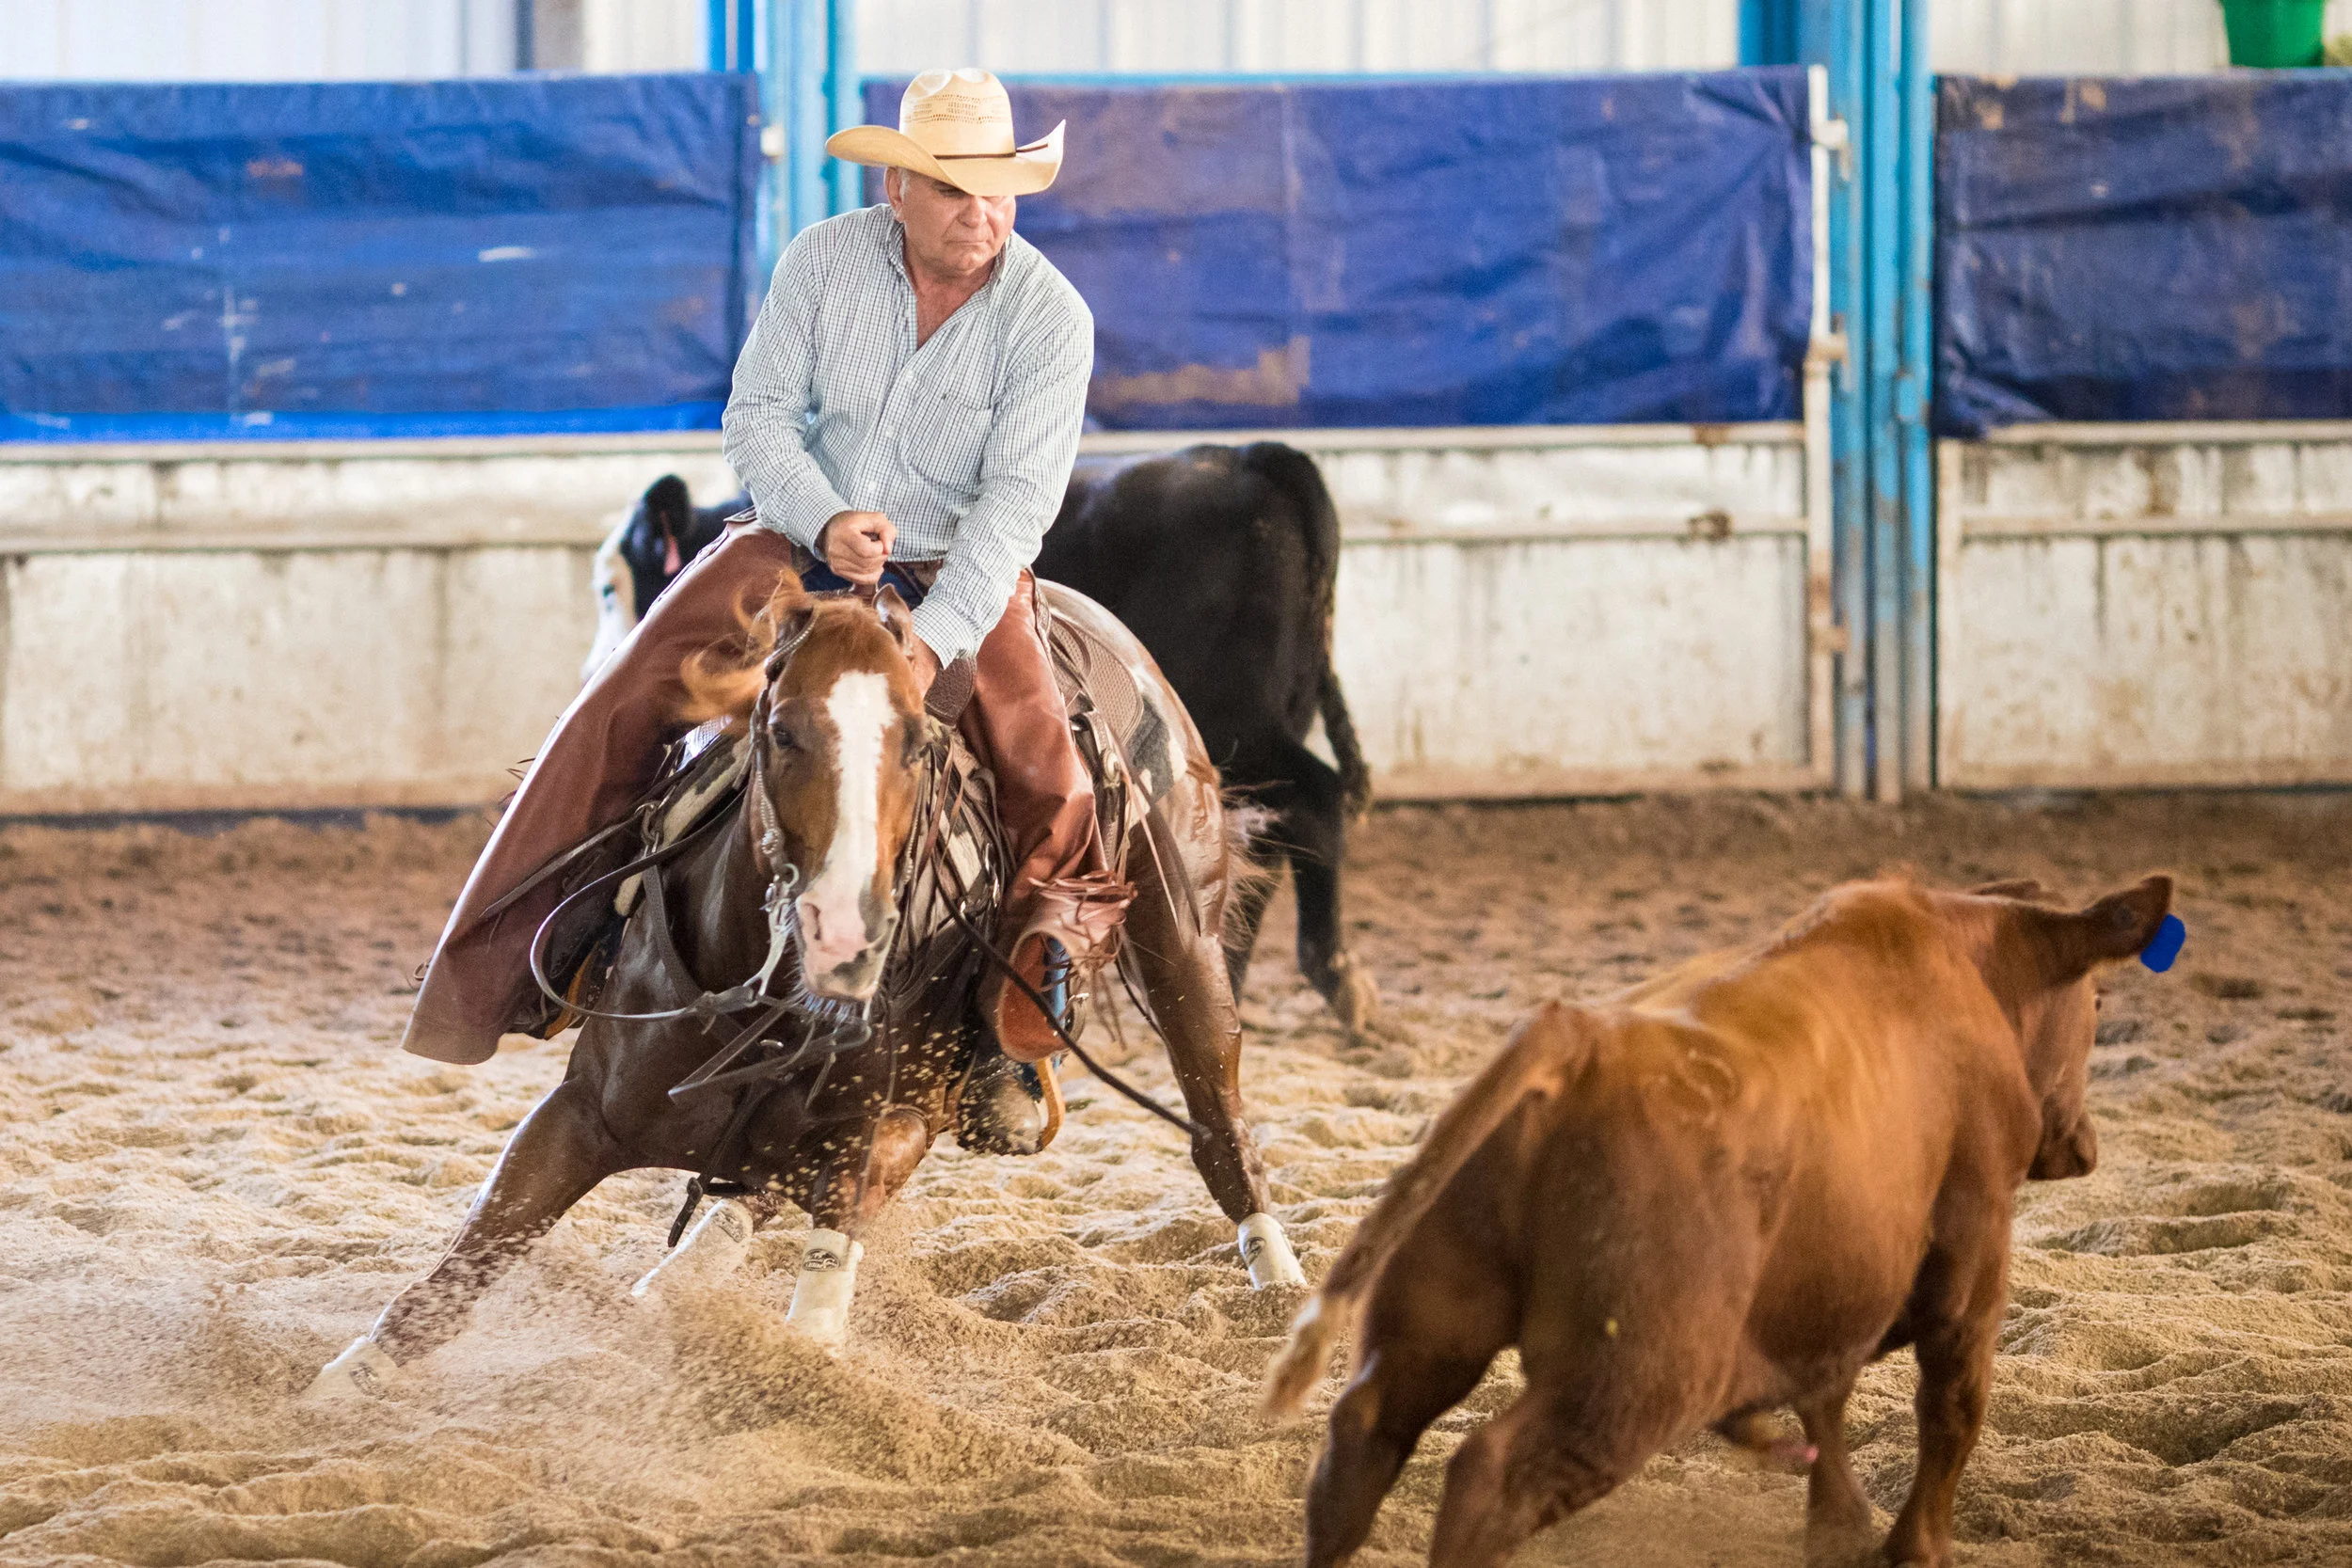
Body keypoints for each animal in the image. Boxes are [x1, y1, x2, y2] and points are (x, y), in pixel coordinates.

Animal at [307, 574, 1306, 1398]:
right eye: (782, 729)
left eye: (917, 745)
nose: (843, 929)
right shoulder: (582, 1111)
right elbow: (472, 1257)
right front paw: (341, 1386)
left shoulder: (888, 1124)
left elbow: (821, 1292)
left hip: (1182, 938)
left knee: (1220, 1124)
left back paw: (1285, 1290)